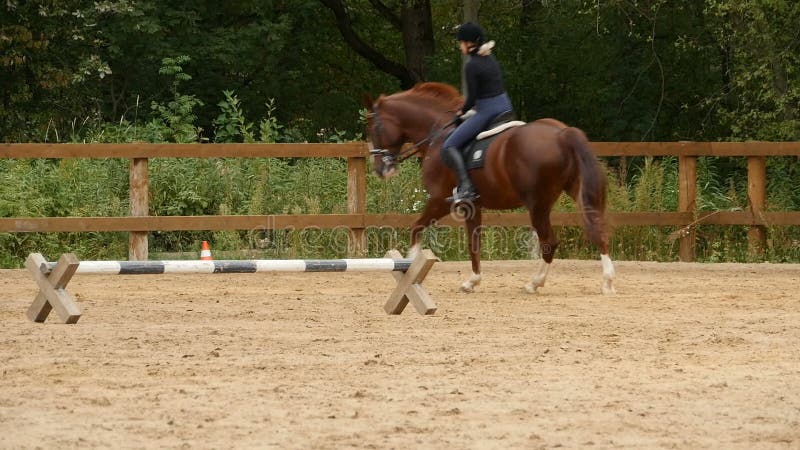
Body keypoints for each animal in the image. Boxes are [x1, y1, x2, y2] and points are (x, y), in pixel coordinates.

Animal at [366, 82, 615, 294]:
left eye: (374, 129)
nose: (380, 169)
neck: (437, 133)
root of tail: (562, 134)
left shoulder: (439, 199)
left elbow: (416, 228)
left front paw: (411, 268)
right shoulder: (472, 205)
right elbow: (474, 241)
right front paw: (472, 281)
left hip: (538, 204)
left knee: (549, 242)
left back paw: (534, 283)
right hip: (576, 193)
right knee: (597, 229)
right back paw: (607, 281)